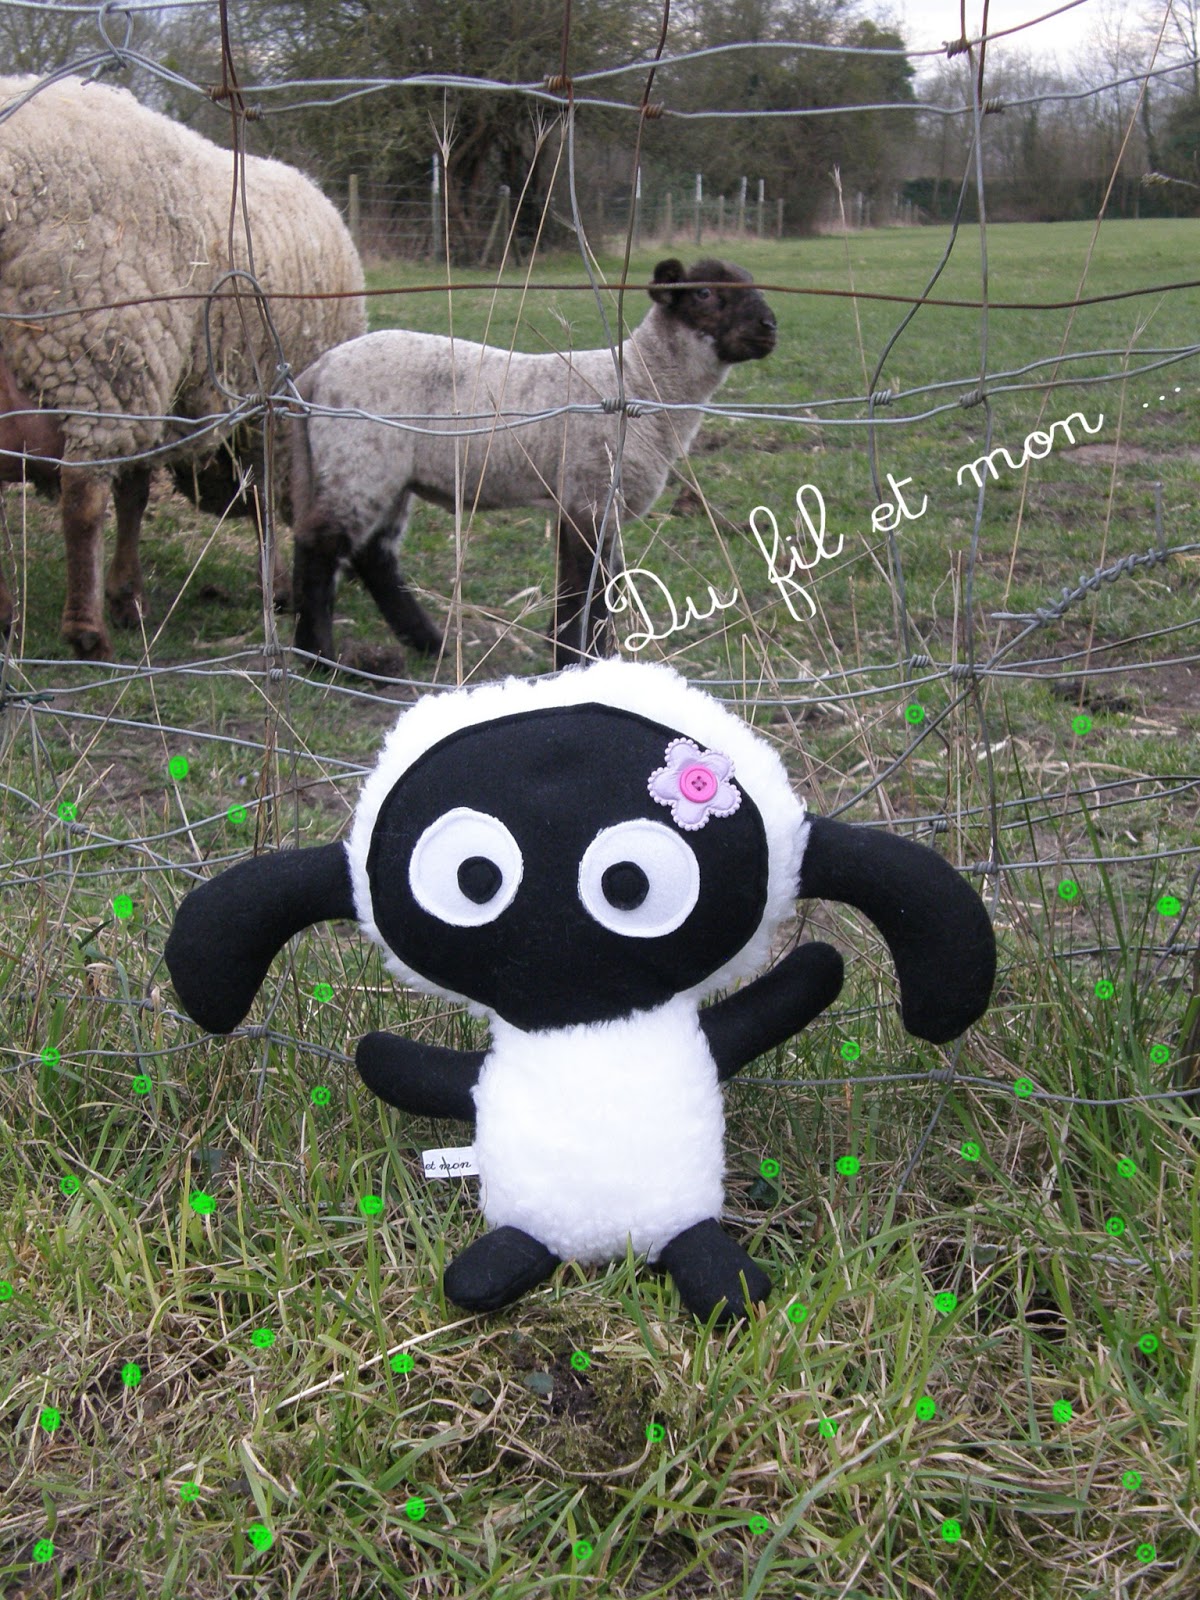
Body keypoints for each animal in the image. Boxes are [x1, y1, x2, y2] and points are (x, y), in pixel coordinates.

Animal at [0, 73, 366, 660]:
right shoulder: (261, 415)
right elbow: (262, 505)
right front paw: (279, 589)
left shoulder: (167, 394)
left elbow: (135, 493)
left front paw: (129, 595)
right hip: (96, 349)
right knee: (82, 496)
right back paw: (86, 632)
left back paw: (6, 615)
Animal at [289, 258, 776, 667]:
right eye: (704, 294)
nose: (770, 326)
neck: (642, 382)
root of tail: (318, 370)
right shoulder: (589, 493)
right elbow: (588, 589)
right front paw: (580, 660)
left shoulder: (582, 499)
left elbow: (590, 582)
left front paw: (574, 649)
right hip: (359, 457)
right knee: (321, 544)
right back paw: (319, 657)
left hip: (389, 473)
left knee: (374, 557)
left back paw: (429, 644)